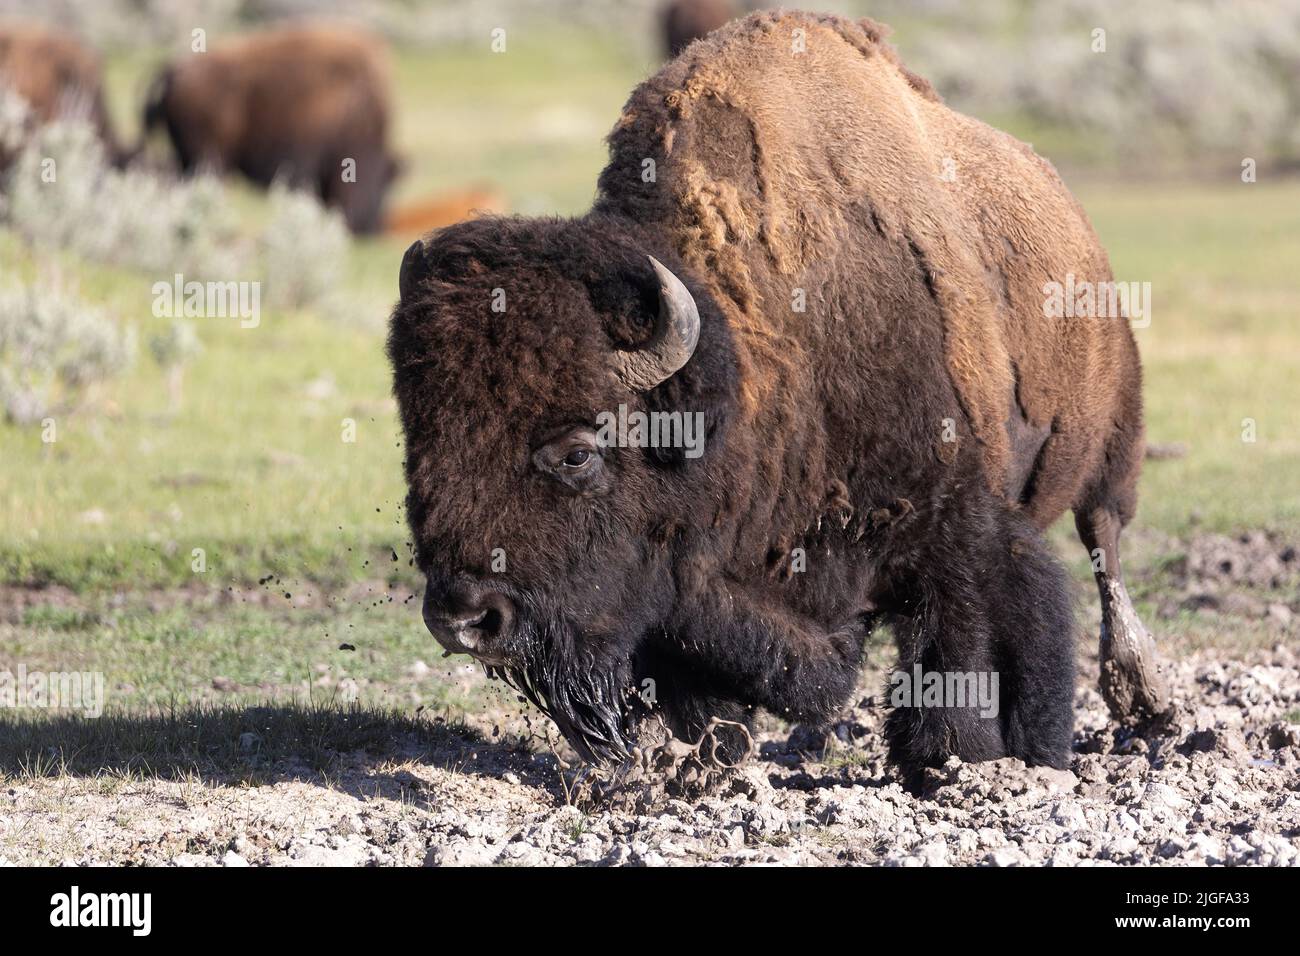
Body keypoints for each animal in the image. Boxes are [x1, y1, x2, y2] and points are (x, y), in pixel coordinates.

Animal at [389, 12, 1169, 786]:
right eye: (417, 442)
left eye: (579, 453)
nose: (465, 618)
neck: (761, 367)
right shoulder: (690, 586)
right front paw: (707, 761)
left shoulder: (954, 523)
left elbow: (975, 638)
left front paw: (962, 759)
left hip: (1111, 446)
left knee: (1104, 545)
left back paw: (1146, 699)